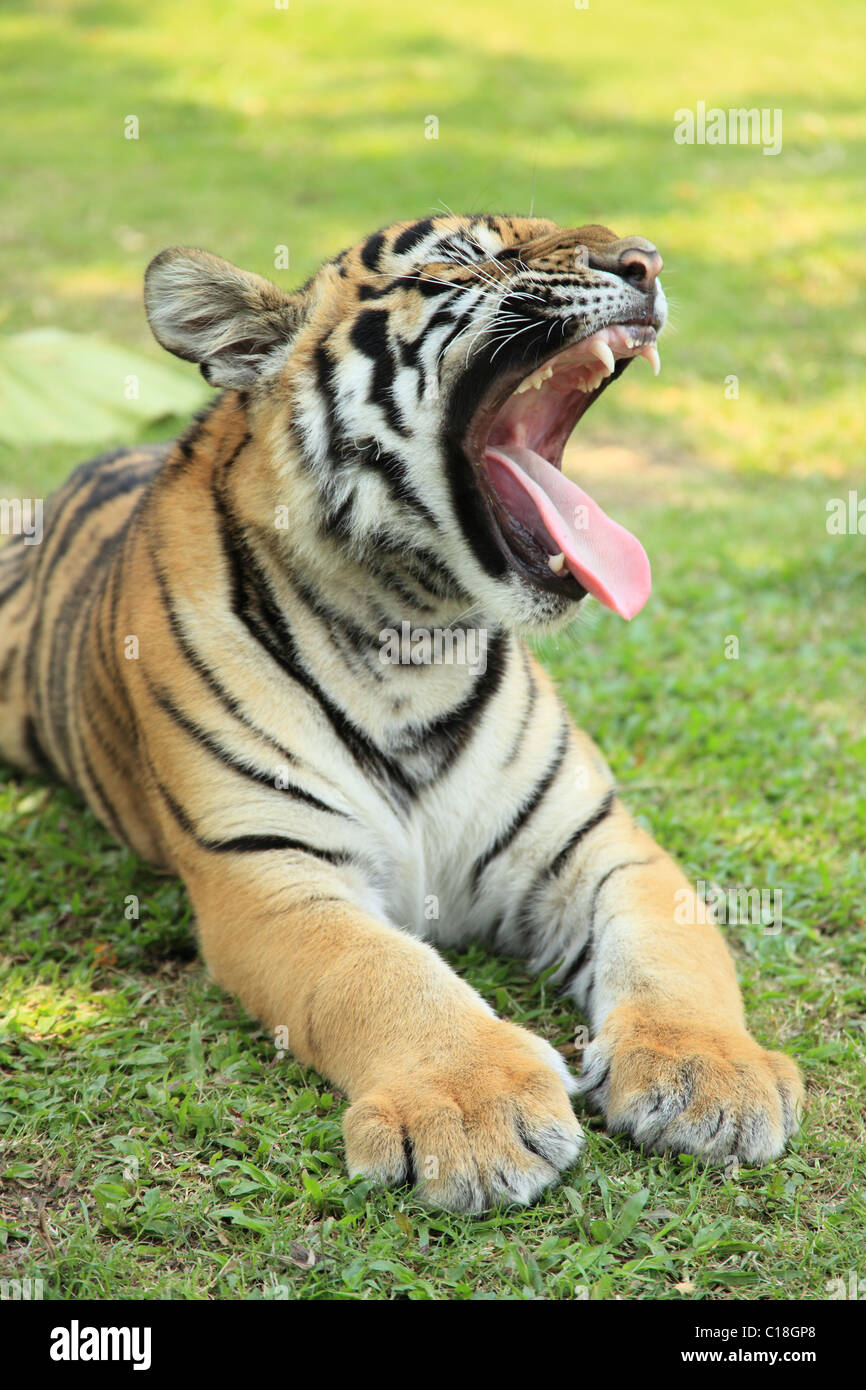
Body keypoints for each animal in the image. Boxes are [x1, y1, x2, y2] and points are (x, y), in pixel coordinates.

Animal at [0, 213, 803, 1213]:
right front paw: (473, 1107)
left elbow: (673, 951)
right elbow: (383, 974)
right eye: (462, 261)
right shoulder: (269, 869)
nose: (645, 262)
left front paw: (712, 1076)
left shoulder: (598, 841)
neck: (413, 642)